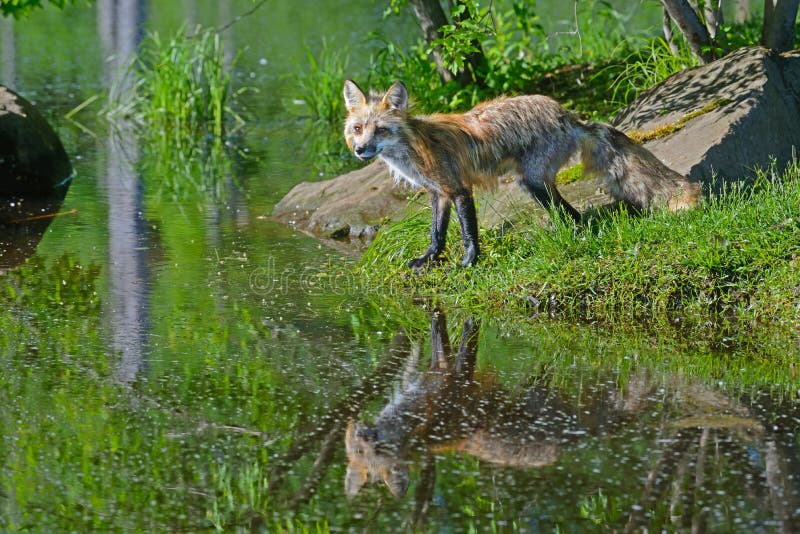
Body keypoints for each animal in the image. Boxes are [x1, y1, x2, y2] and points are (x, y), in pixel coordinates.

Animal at [343, 80, 701, 269]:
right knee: (571, 214)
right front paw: (428, 260)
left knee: (571, 214)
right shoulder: (438, 193)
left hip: (531, 182)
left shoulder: (459, 189)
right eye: (358, 128)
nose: (360, 150)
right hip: (535, 184)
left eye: (380, 130)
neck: (415, 148)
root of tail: (568, 114)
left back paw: (572, 238)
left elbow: (469, 233)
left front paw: (470, 263)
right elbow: (437, 235)